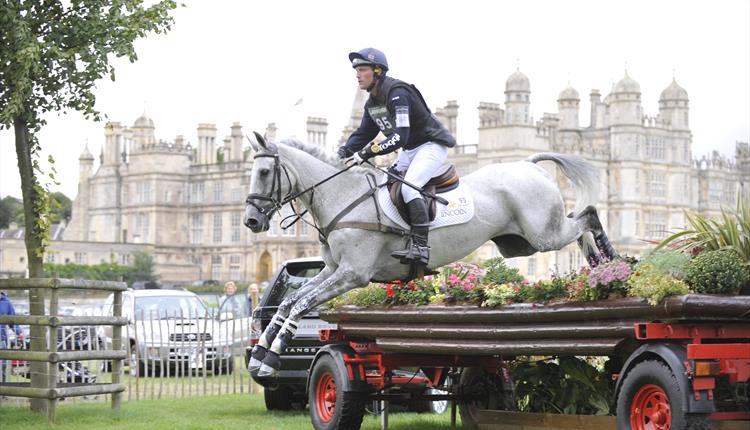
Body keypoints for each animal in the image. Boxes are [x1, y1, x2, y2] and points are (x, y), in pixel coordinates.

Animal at [243, 132, 616, 380]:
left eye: (264, 173)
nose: (252, 222)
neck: (343, 196)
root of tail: (527, 164)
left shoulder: (352, 275)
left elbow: (301, 305)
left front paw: (270, 359)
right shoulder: (331, 271)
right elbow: (289, 303)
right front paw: (259, 356)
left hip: (542, 235)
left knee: (588, 216)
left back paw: (609, 265)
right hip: (520, 242)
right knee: (579, 224)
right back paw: (601, 268)